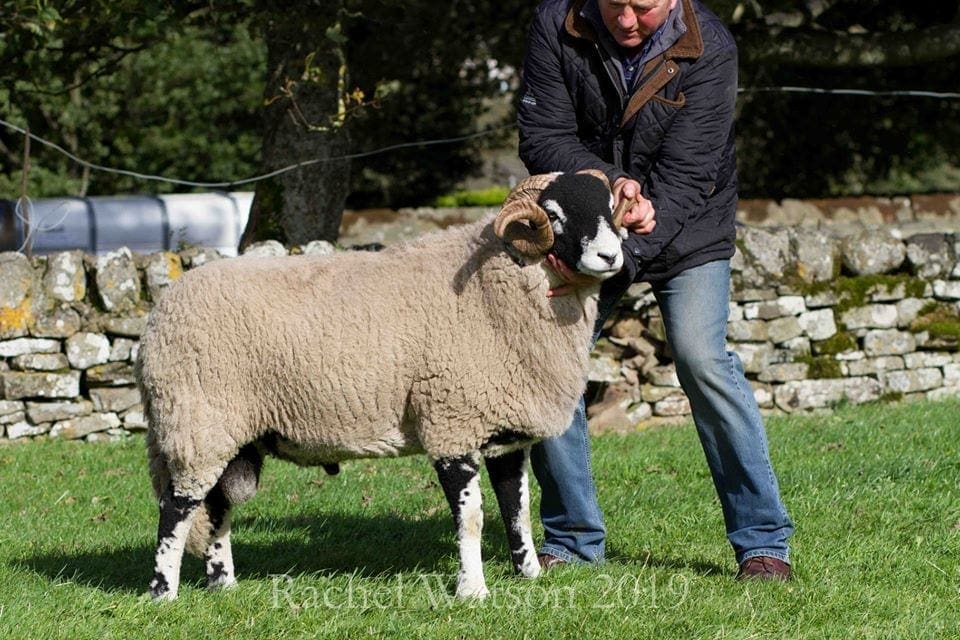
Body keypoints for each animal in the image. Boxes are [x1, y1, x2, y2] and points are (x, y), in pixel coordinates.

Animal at [139, 170, 629, 601]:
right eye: (555, 214)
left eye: (609, 208)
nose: (610, 258)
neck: (494, 290)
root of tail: (159, 314)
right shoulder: (451, 422)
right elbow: (470, 517)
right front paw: (473, 591)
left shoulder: (502, 433)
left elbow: (517, 508)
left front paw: (528, 575)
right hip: (196, 424)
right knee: (176, 508)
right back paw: (163, 593)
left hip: (230, 434)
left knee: (216, 507)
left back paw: (224, 585)